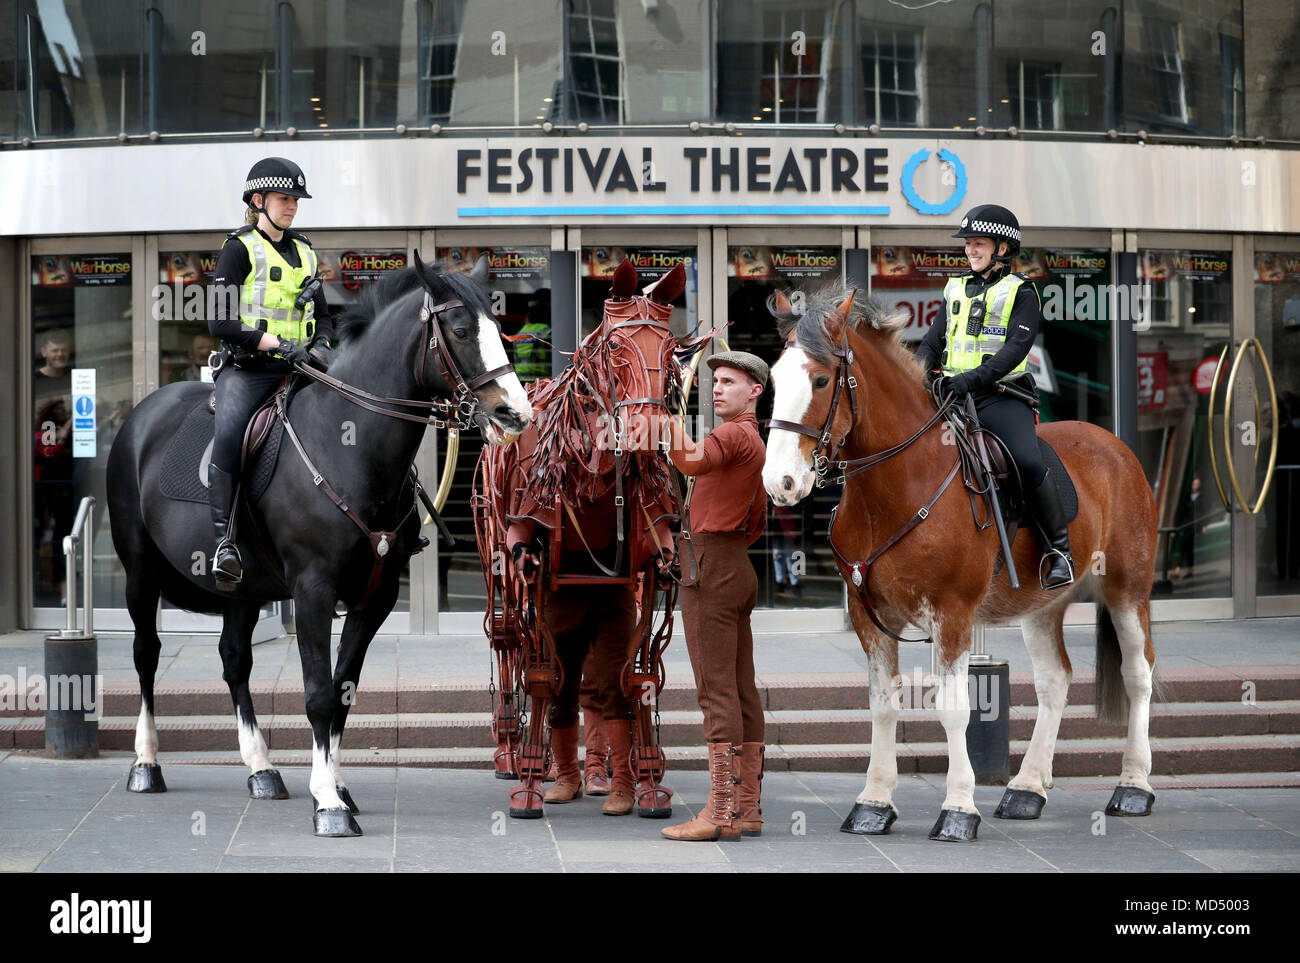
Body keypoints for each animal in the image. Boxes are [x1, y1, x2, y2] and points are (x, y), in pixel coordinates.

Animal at [105, 253, 533, 831]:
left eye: (500, 331)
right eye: (463, 332)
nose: (516, 414)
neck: (347, 444)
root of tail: (143, 413)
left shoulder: (375, 598)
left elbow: (343, 690)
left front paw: (335, 786)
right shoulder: (312, 591)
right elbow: (318, 695)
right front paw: (328, 802)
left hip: (242, 590)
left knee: (234, 659)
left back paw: (261, 768)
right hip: (140, 572)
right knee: (146, 654)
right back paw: (146, 763)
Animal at [759, 287, 1159, 842]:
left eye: (820, 380)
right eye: (774, 378)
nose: (780, 482)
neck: (897, 488)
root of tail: (1114, 444)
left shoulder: (952, 614)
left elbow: (954, 709)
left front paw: (958, 807)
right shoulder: (868, 616)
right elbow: (883, 704)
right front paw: (874, 801)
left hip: (1127, 589)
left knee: (1138, 673)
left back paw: (1133, 785)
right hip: (1042, 605)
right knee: (1054, 680)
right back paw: (1026, 788)